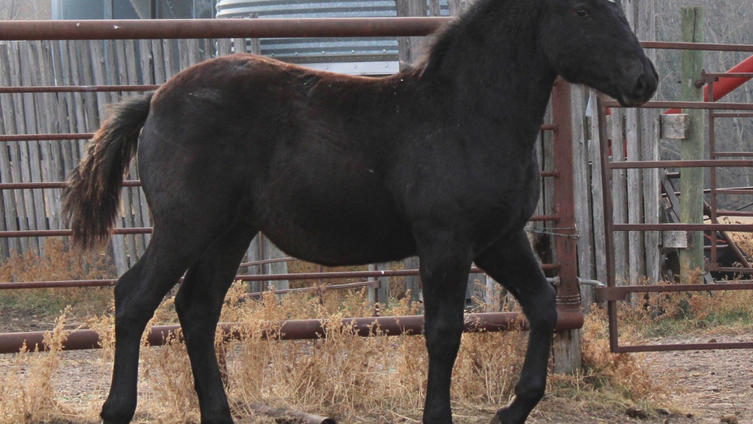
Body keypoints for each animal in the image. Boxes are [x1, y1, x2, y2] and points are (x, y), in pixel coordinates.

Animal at [62, 0, 657, 422]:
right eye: (581, 10)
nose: (644, 79)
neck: (467, 113)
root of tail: (155, 99)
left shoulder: (498, 240)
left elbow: (543, 307)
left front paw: (511, 411)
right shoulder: (446, 242)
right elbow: (443, 332)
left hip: (227, 235)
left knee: (197, 310)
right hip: (186, 228)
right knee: (134, 299)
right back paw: (117, 410)